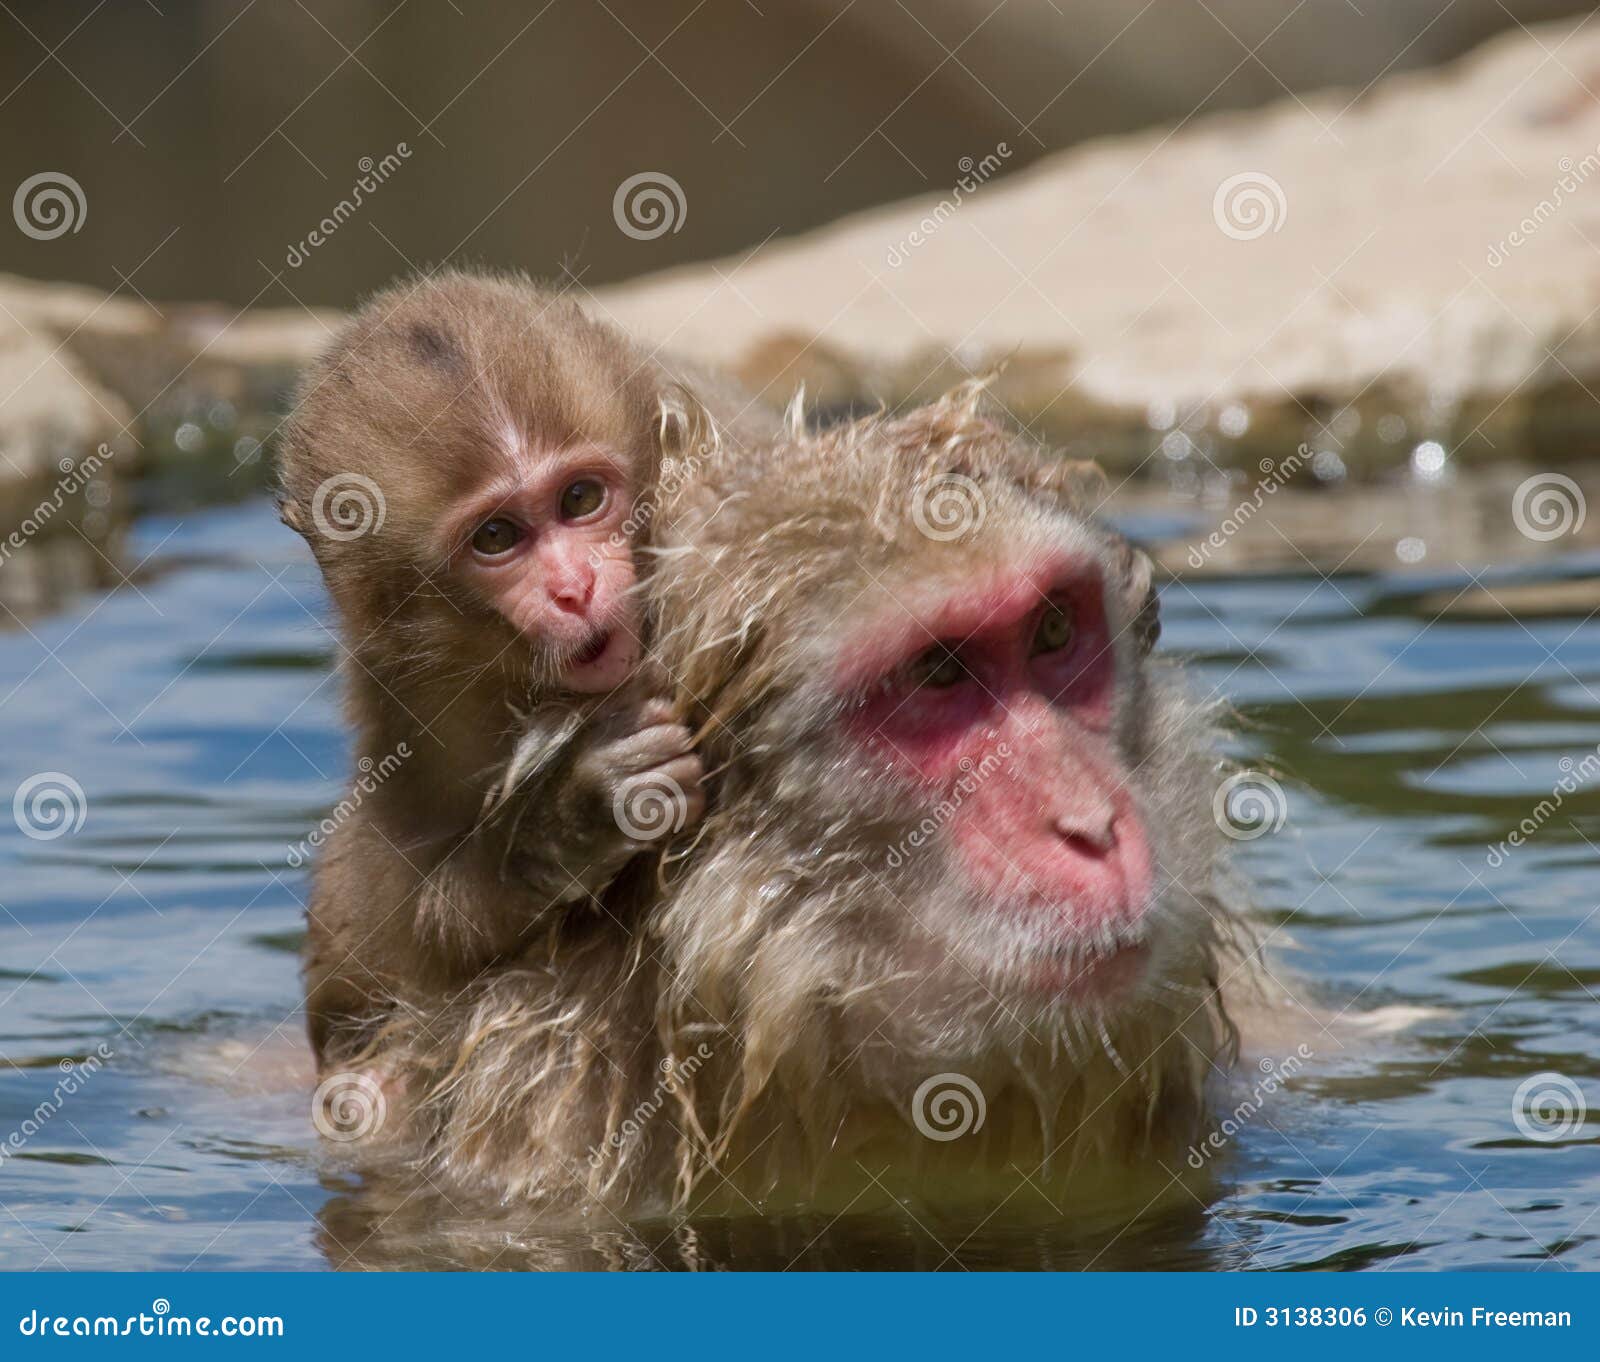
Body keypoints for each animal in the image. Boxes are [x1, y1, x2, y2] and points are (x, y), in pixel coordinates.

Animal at [276, 268, 778, 1066]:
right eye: (496, 537)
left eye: (580, 498)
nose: (574, 588)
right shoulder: (412, 692)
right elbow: (372, 965)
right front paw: (565, 822)